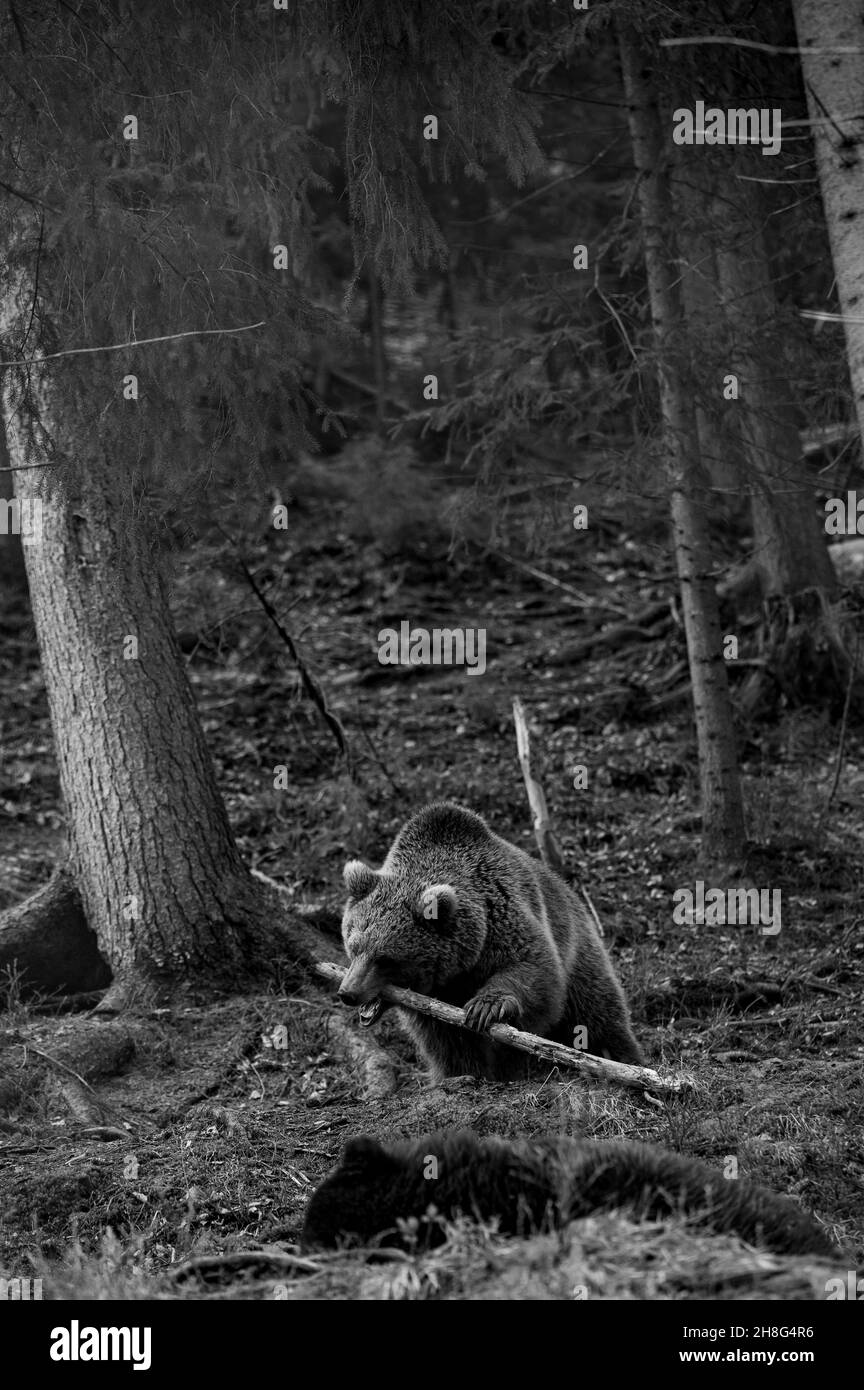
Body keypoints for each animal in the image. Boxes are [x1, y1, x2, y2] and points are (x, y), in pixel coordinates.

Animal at [338, 801, 642, 1081]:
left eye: (385, 958)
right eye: (354, 948)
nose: (348, 993)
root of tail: (570, 891)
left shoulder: (501, 915)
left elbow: (533, 967)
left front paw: (486, 1007)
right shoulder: (433, 1002)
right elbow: (448, 1042)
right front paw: (462, 1074)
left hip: (578, 948)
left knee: (596, 1014)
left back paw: (622, 1060)